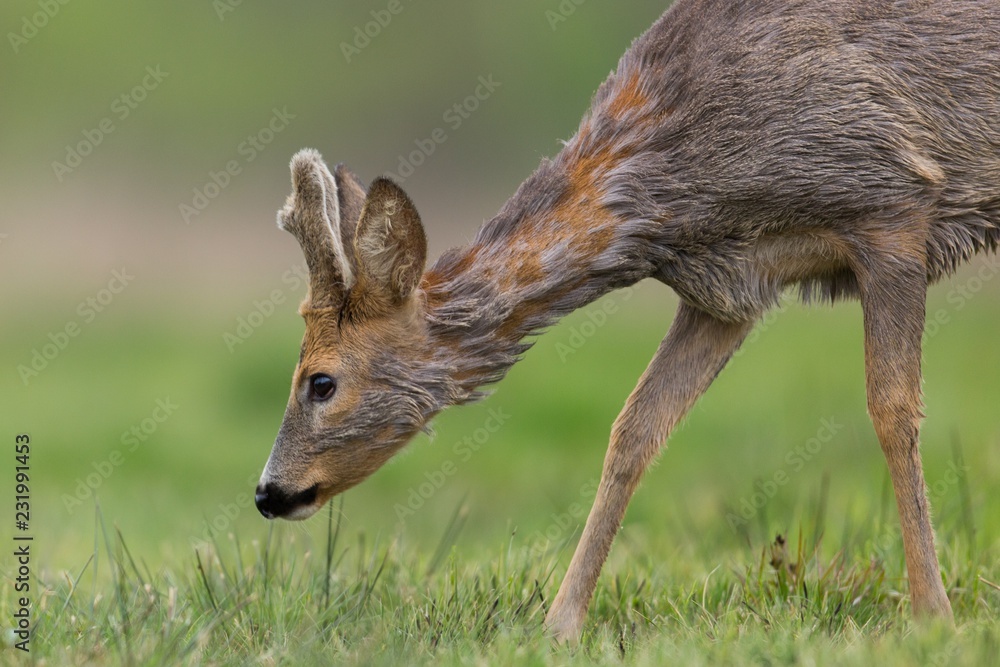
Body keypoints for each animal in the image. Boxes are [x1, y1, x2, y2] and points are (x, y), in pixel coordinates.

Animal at [254, 0, 999, 642]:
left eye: (320, 381)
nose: (268, 492)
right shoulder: (727, 289)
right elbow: (635, 429)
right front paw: (560, 622)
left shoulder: (890, 201)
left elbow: (892, 408)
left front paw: (932, 613)